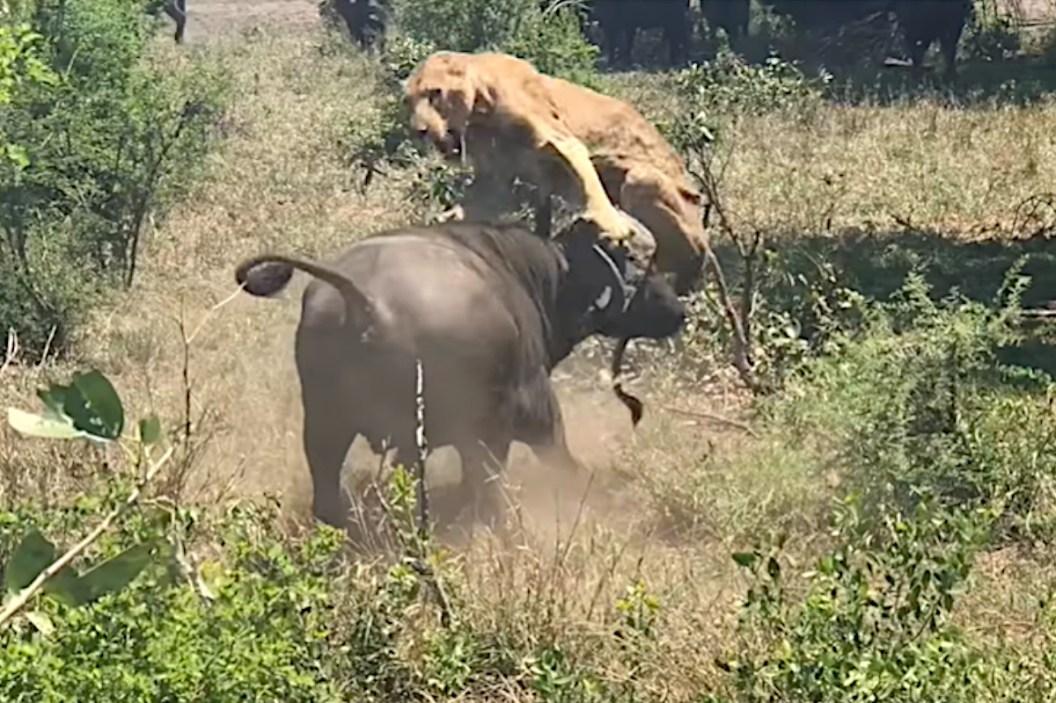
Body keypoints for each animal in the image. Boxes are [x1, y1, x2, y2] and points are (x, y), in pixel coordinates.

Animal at [404, 50, 709, 295]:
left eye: (435, 93)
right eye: (408, 102)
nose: (419, 130)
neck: (478, 114)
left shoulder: (561, 139)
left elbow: (589, 182)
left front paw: (611, 224)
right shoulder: (496, 178)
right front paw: (445, 220)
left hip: (641, 180)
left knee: (693, 252)